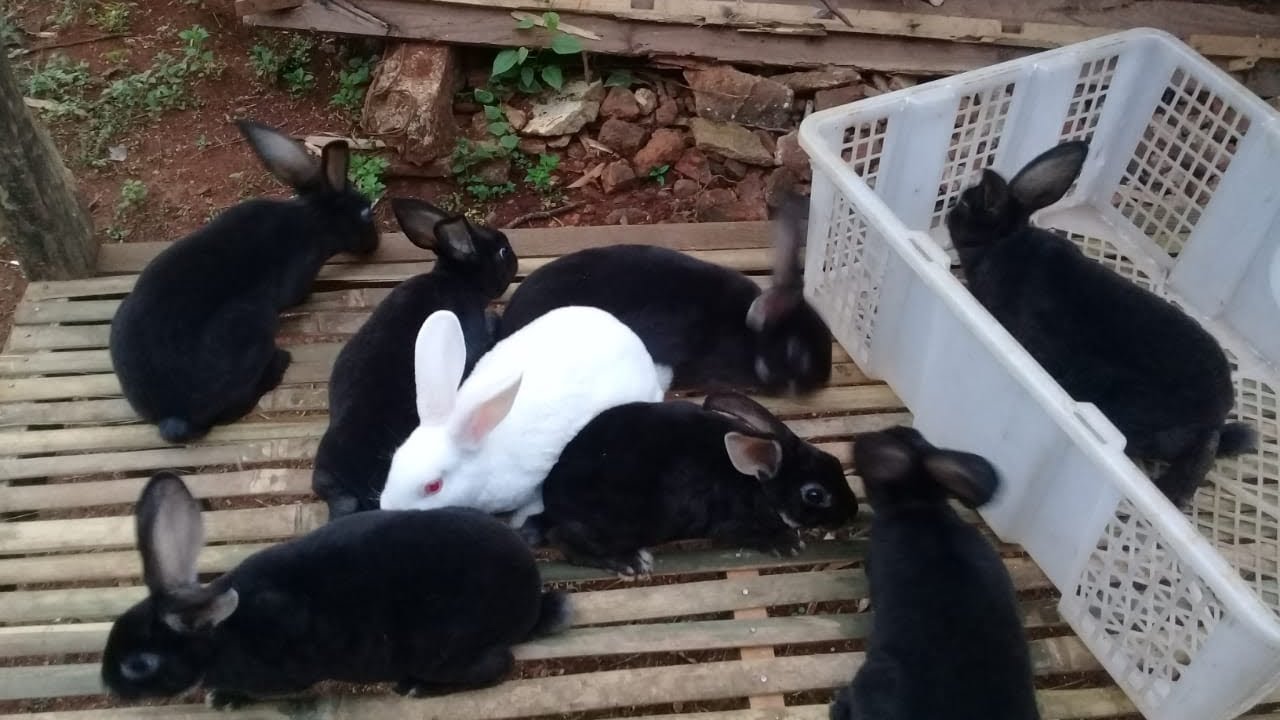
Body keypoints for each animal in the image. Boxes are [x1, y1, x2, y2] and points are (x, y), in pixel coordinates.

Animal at [100, 472, 571, 709]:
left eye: (139, 665)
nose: (108, 686)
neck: (218, 637)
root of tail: (532, 601)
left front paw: (224, 698)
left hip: (447, 649)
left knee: (498, 666)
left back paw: (416, 688)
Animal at [109, 120, 380, 445]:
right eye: (365, 212)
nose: (375, 244)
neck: (313, 220)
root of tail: (172, 415)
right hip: (251, 320)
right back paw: (281, 362)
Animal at [377, 305, 668, 532]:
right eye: (394, 459)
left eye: (433, 486)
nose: (387, 507)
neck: (484, 453)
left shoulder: (534, 479)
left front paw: (519, 521)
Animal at [530, 391, 858, 577]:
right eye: (814, 494)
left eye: (835, 462)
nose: (853, 510)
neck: (758, 486)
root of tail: (550, 505)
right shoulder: (733, 524)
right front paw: (788, 544)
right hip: (625, 522)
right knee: (565, 540)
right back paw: (631, 562)